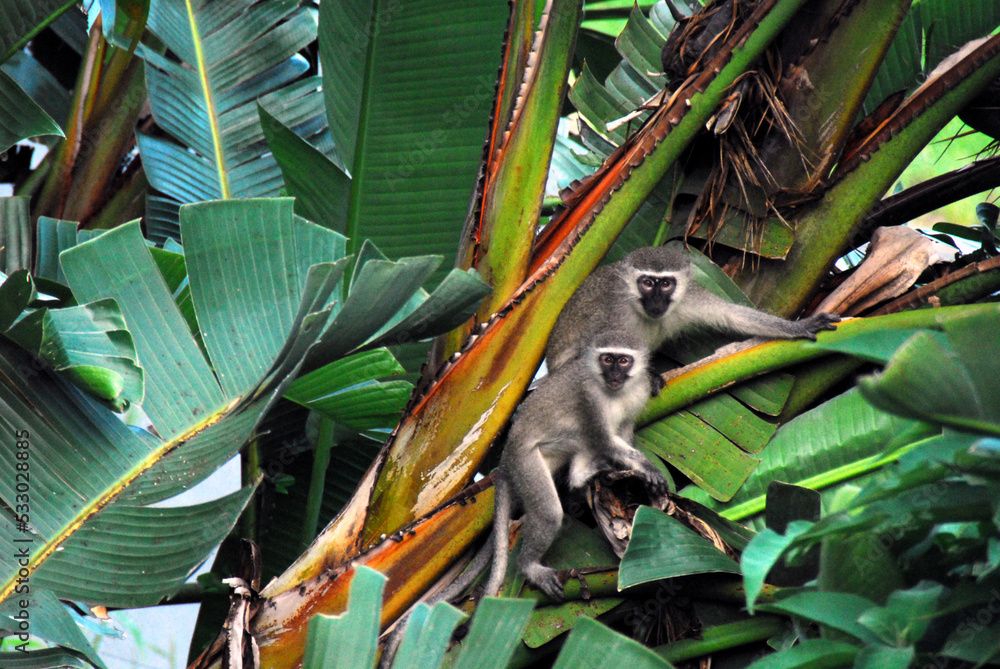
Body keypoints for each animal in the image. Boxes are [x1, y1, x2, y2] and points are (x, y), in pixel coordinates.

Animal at [545, 245, 840, 376]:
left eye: (665, 284)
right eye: (647, 283)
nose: (656, 301)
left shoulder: (689, 298)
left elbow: (730, 313)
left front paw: (800, 326)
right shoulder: (609, 310)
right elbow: (590, 356)